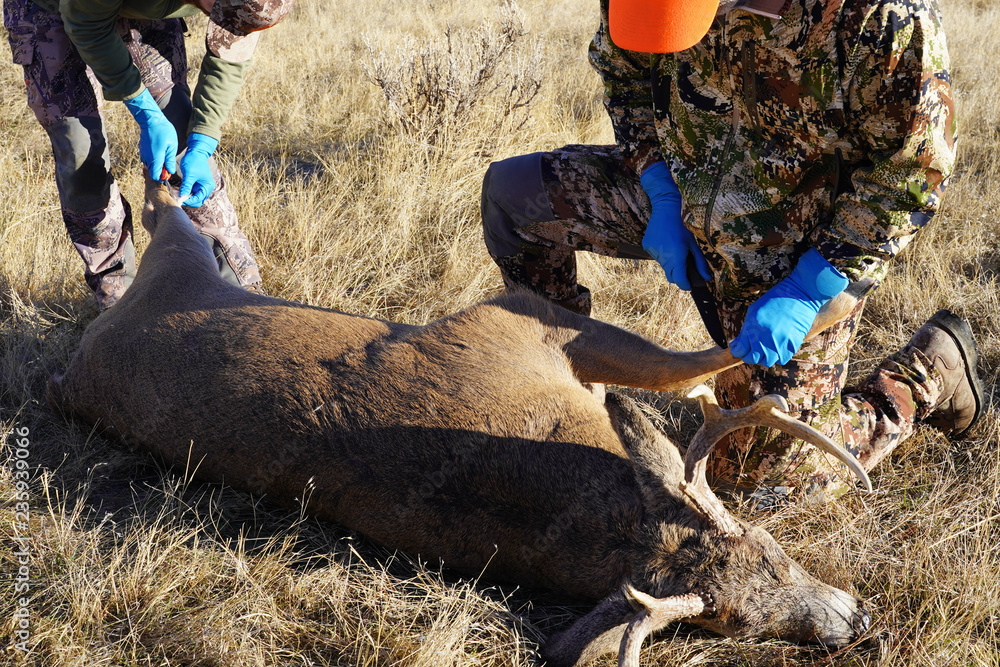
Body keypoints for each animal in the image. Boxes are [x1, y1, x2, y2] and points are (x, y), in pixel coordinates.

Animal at [47, 176, 871, 666]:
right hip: (179, 259)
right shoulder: (517, 319)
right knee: (165, 209)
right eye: (767, 567)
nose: (854, 622)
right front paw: (824, 300)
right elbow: (697, 355)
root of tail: (75, 362)